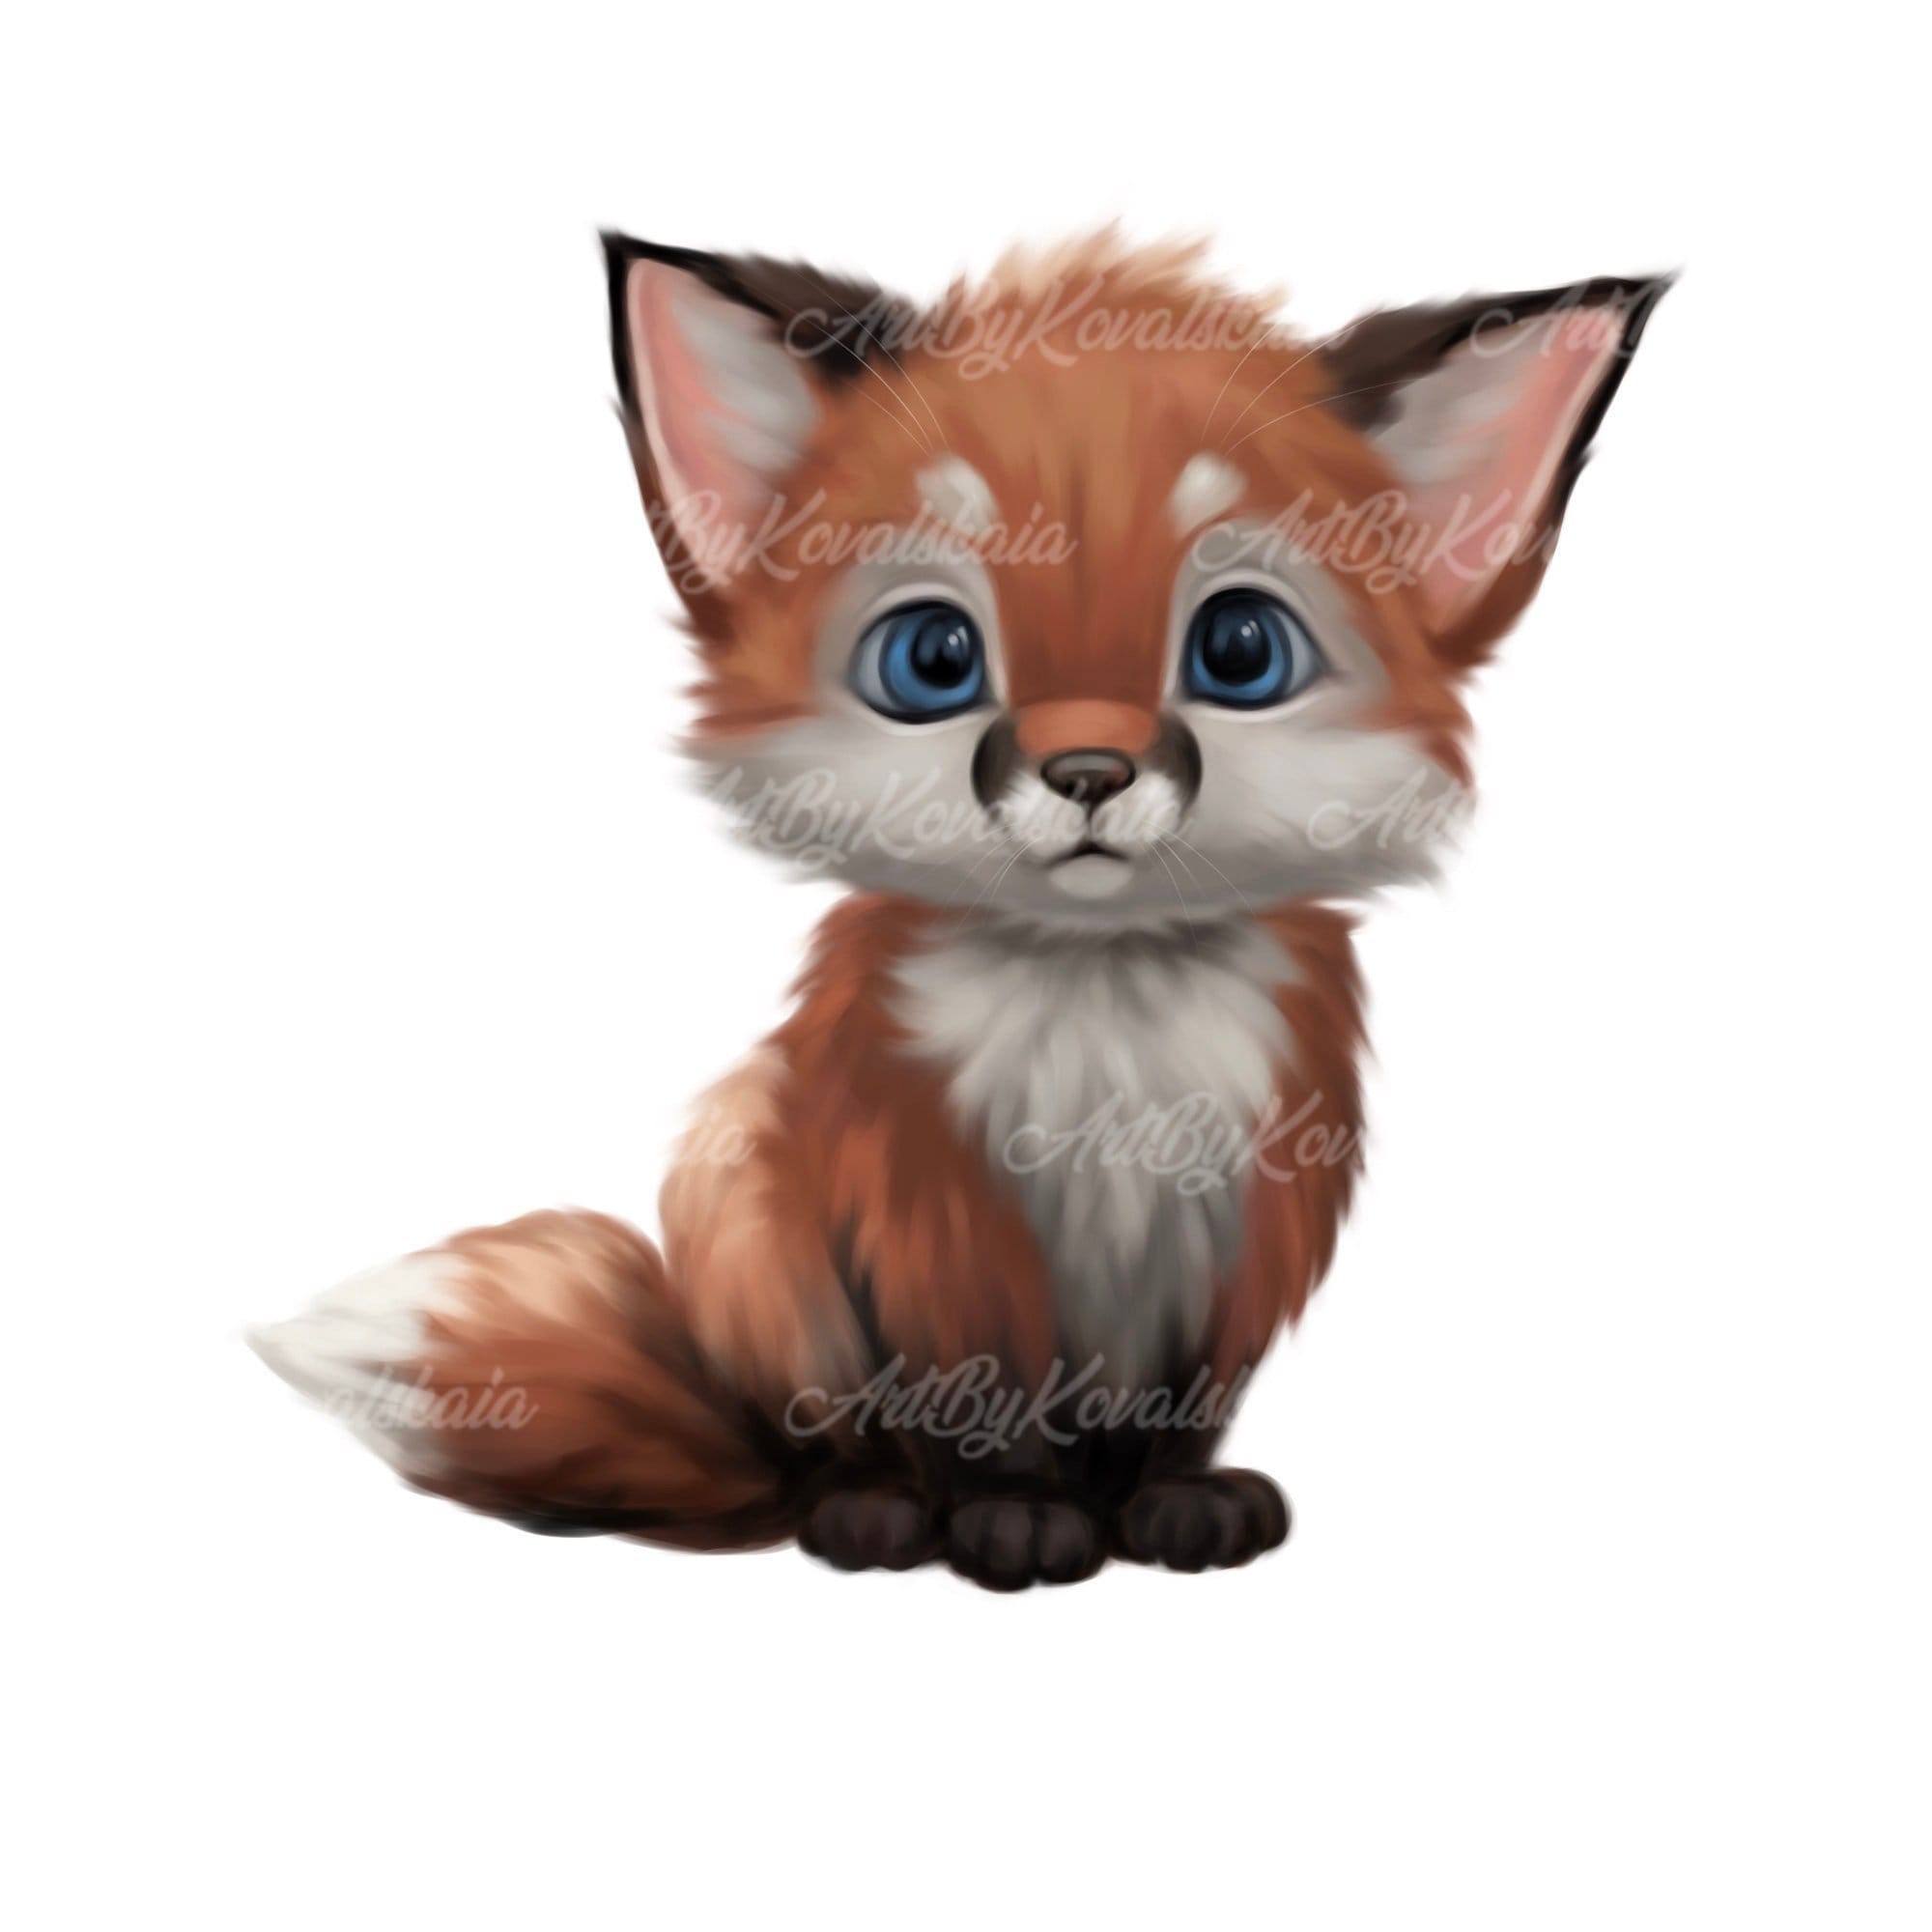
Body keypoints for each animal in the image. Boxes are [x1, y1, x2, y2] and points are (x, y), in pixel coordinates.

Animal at [251, 231, 1668, 1589]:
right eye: (931, 660)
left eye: (1240, 652)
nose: (1088, 772)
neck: (1106, 1044)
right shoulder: (934, 1223)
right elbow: (982, 1407)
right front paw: (1017, 1523)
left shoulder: (1244, 1234)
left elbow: (1183, 1414)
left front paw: (1175, 1508)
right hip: (751, 1208)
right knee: (827, 1456)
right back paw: (871, 1512)